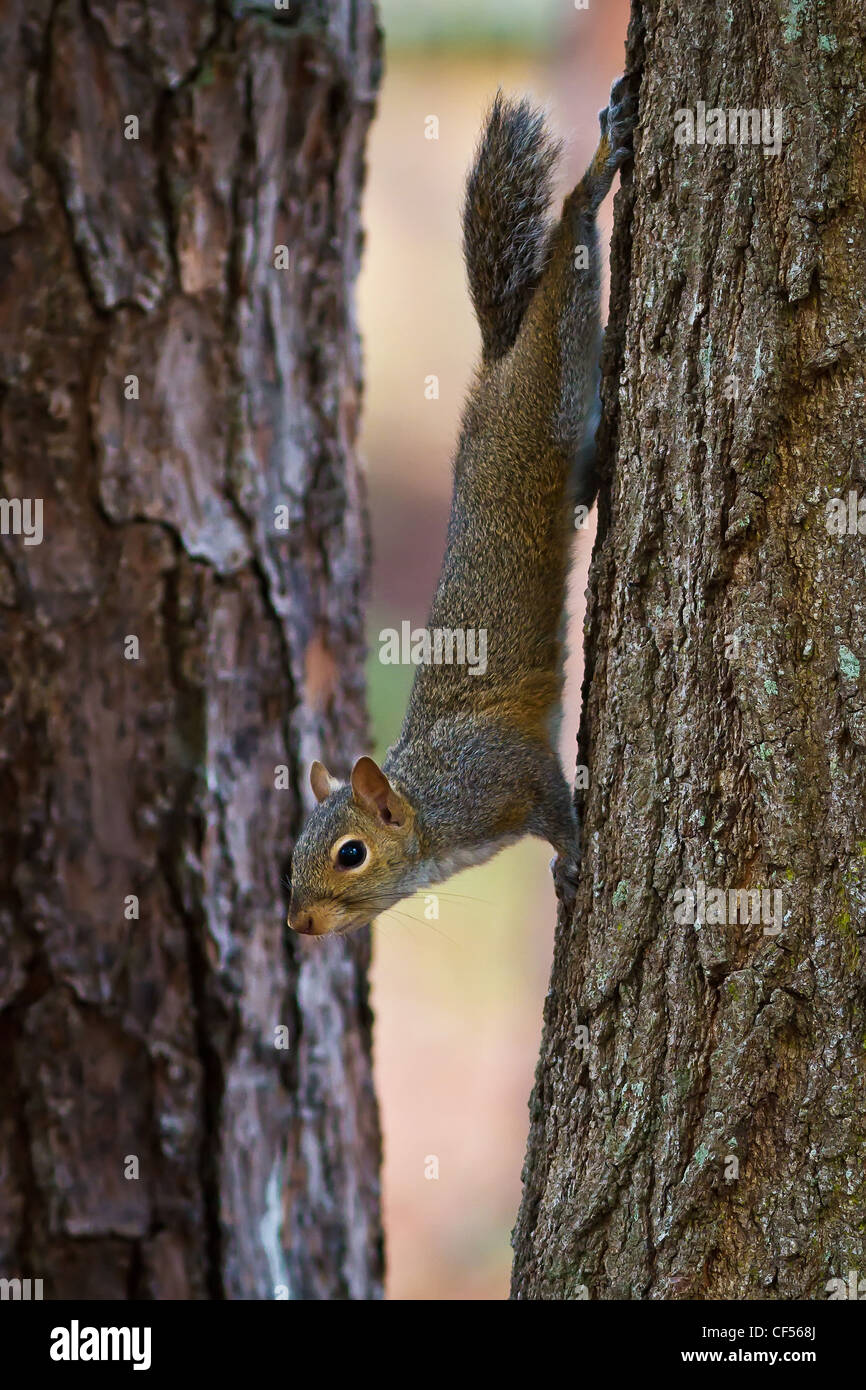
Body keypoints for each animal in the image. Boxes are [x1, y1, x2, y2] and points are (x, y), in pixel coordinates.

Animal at [289, 77, 637, 937]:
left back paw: (599, 169)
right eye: (294, 850)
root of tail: (496, 362)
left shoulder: (507, 769)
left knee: (571, 254)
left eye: (350, 853)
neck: (433, 810)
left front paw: (570, 862)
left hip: (554, 371)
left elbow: (558, 804)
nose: (298, 924)